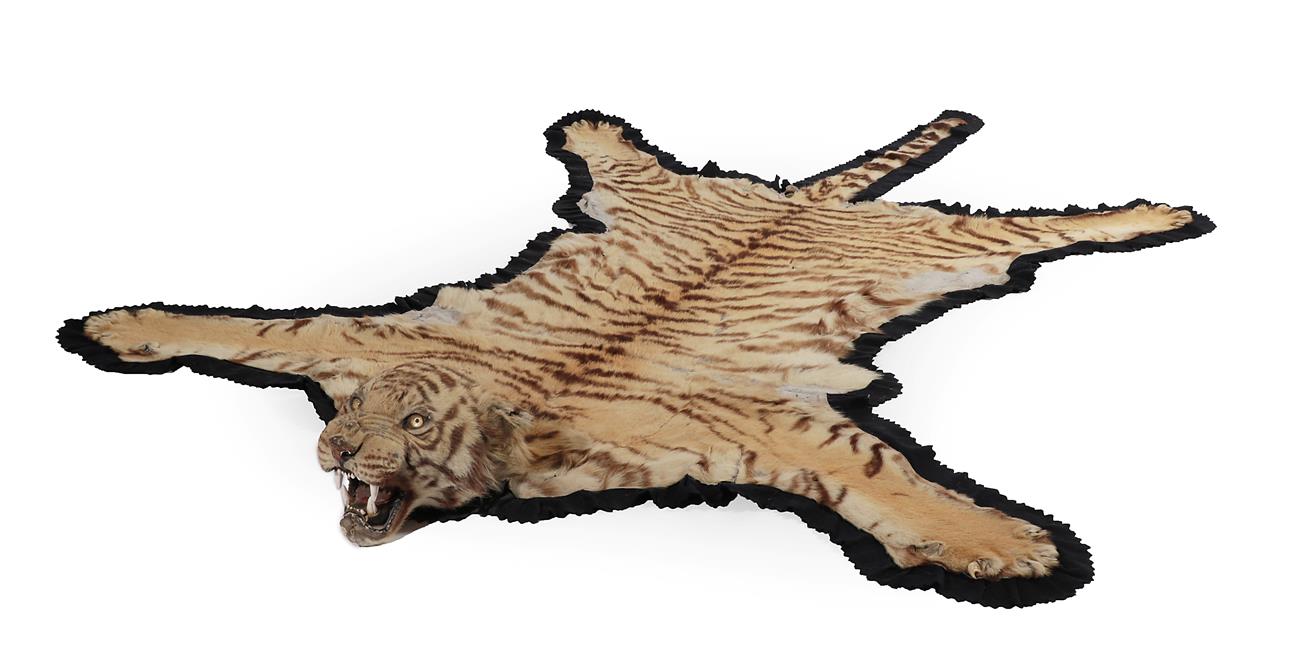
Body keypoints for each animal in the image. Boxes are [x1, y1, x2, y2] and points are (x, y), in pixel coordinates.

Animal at [64, 110, 1211, 601]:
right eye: (351, 418)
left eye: (415, 425)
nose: (338, 451)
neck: (512, 402)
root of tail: (793, 201)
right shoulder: (363, 338)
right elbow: (260, 325)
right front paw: (121, 327)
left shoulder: (756, 426)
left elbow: (875, 466)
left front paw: (1006, 544)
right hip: (671, 194)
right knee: (633, 157)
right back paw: (587, 125)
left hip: (941, 242)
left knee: (1029, 226)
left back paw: (1159, 212)